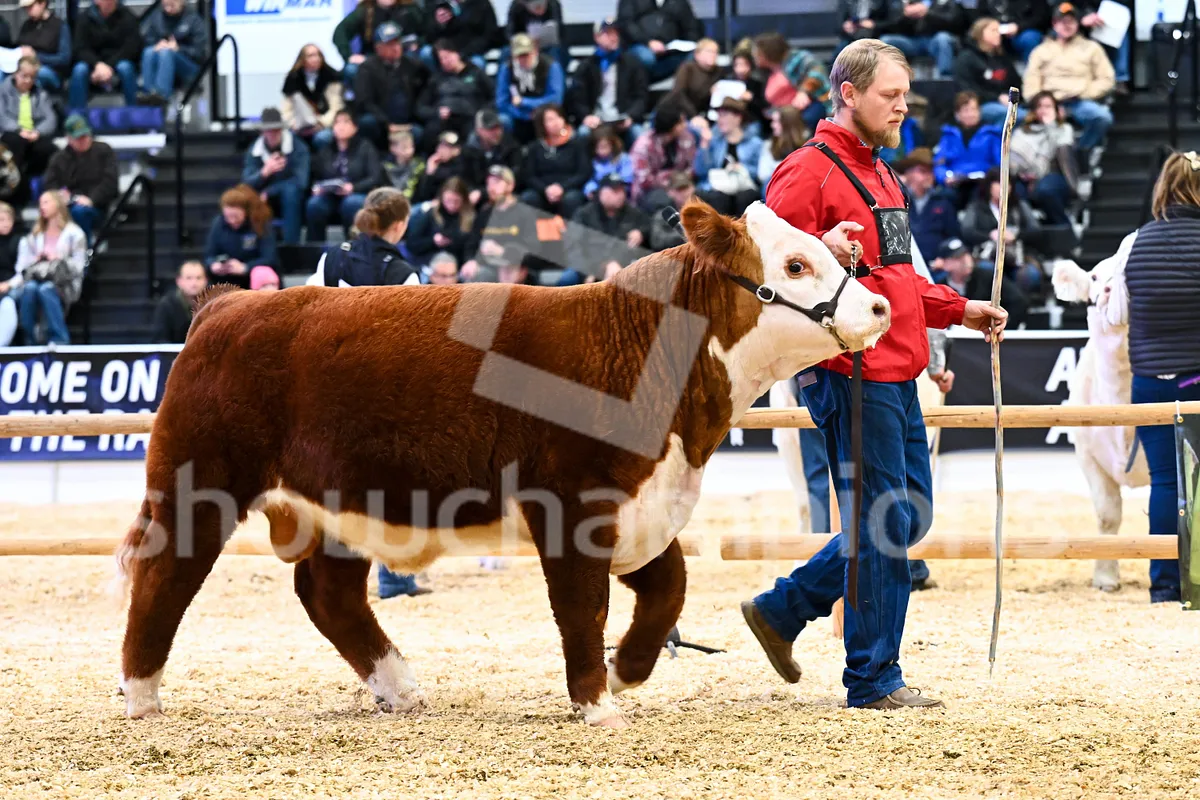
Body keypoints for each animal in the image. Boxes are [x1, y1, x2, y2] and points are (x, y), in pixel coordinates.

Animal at [112, 199, 892, 729]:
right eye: (795, 265)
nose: (881, 306)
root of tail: (225, 306)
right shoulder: (573, 508)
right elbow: (581, 607)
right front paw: (596, 703)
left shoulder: (641, 505)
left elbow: (668, 587)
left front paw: (627, 669)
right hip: (197, 482)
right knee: (163, 575)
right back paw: (141, 695)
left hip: (336, 502)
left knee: (328, 594)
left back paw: (401, 686)